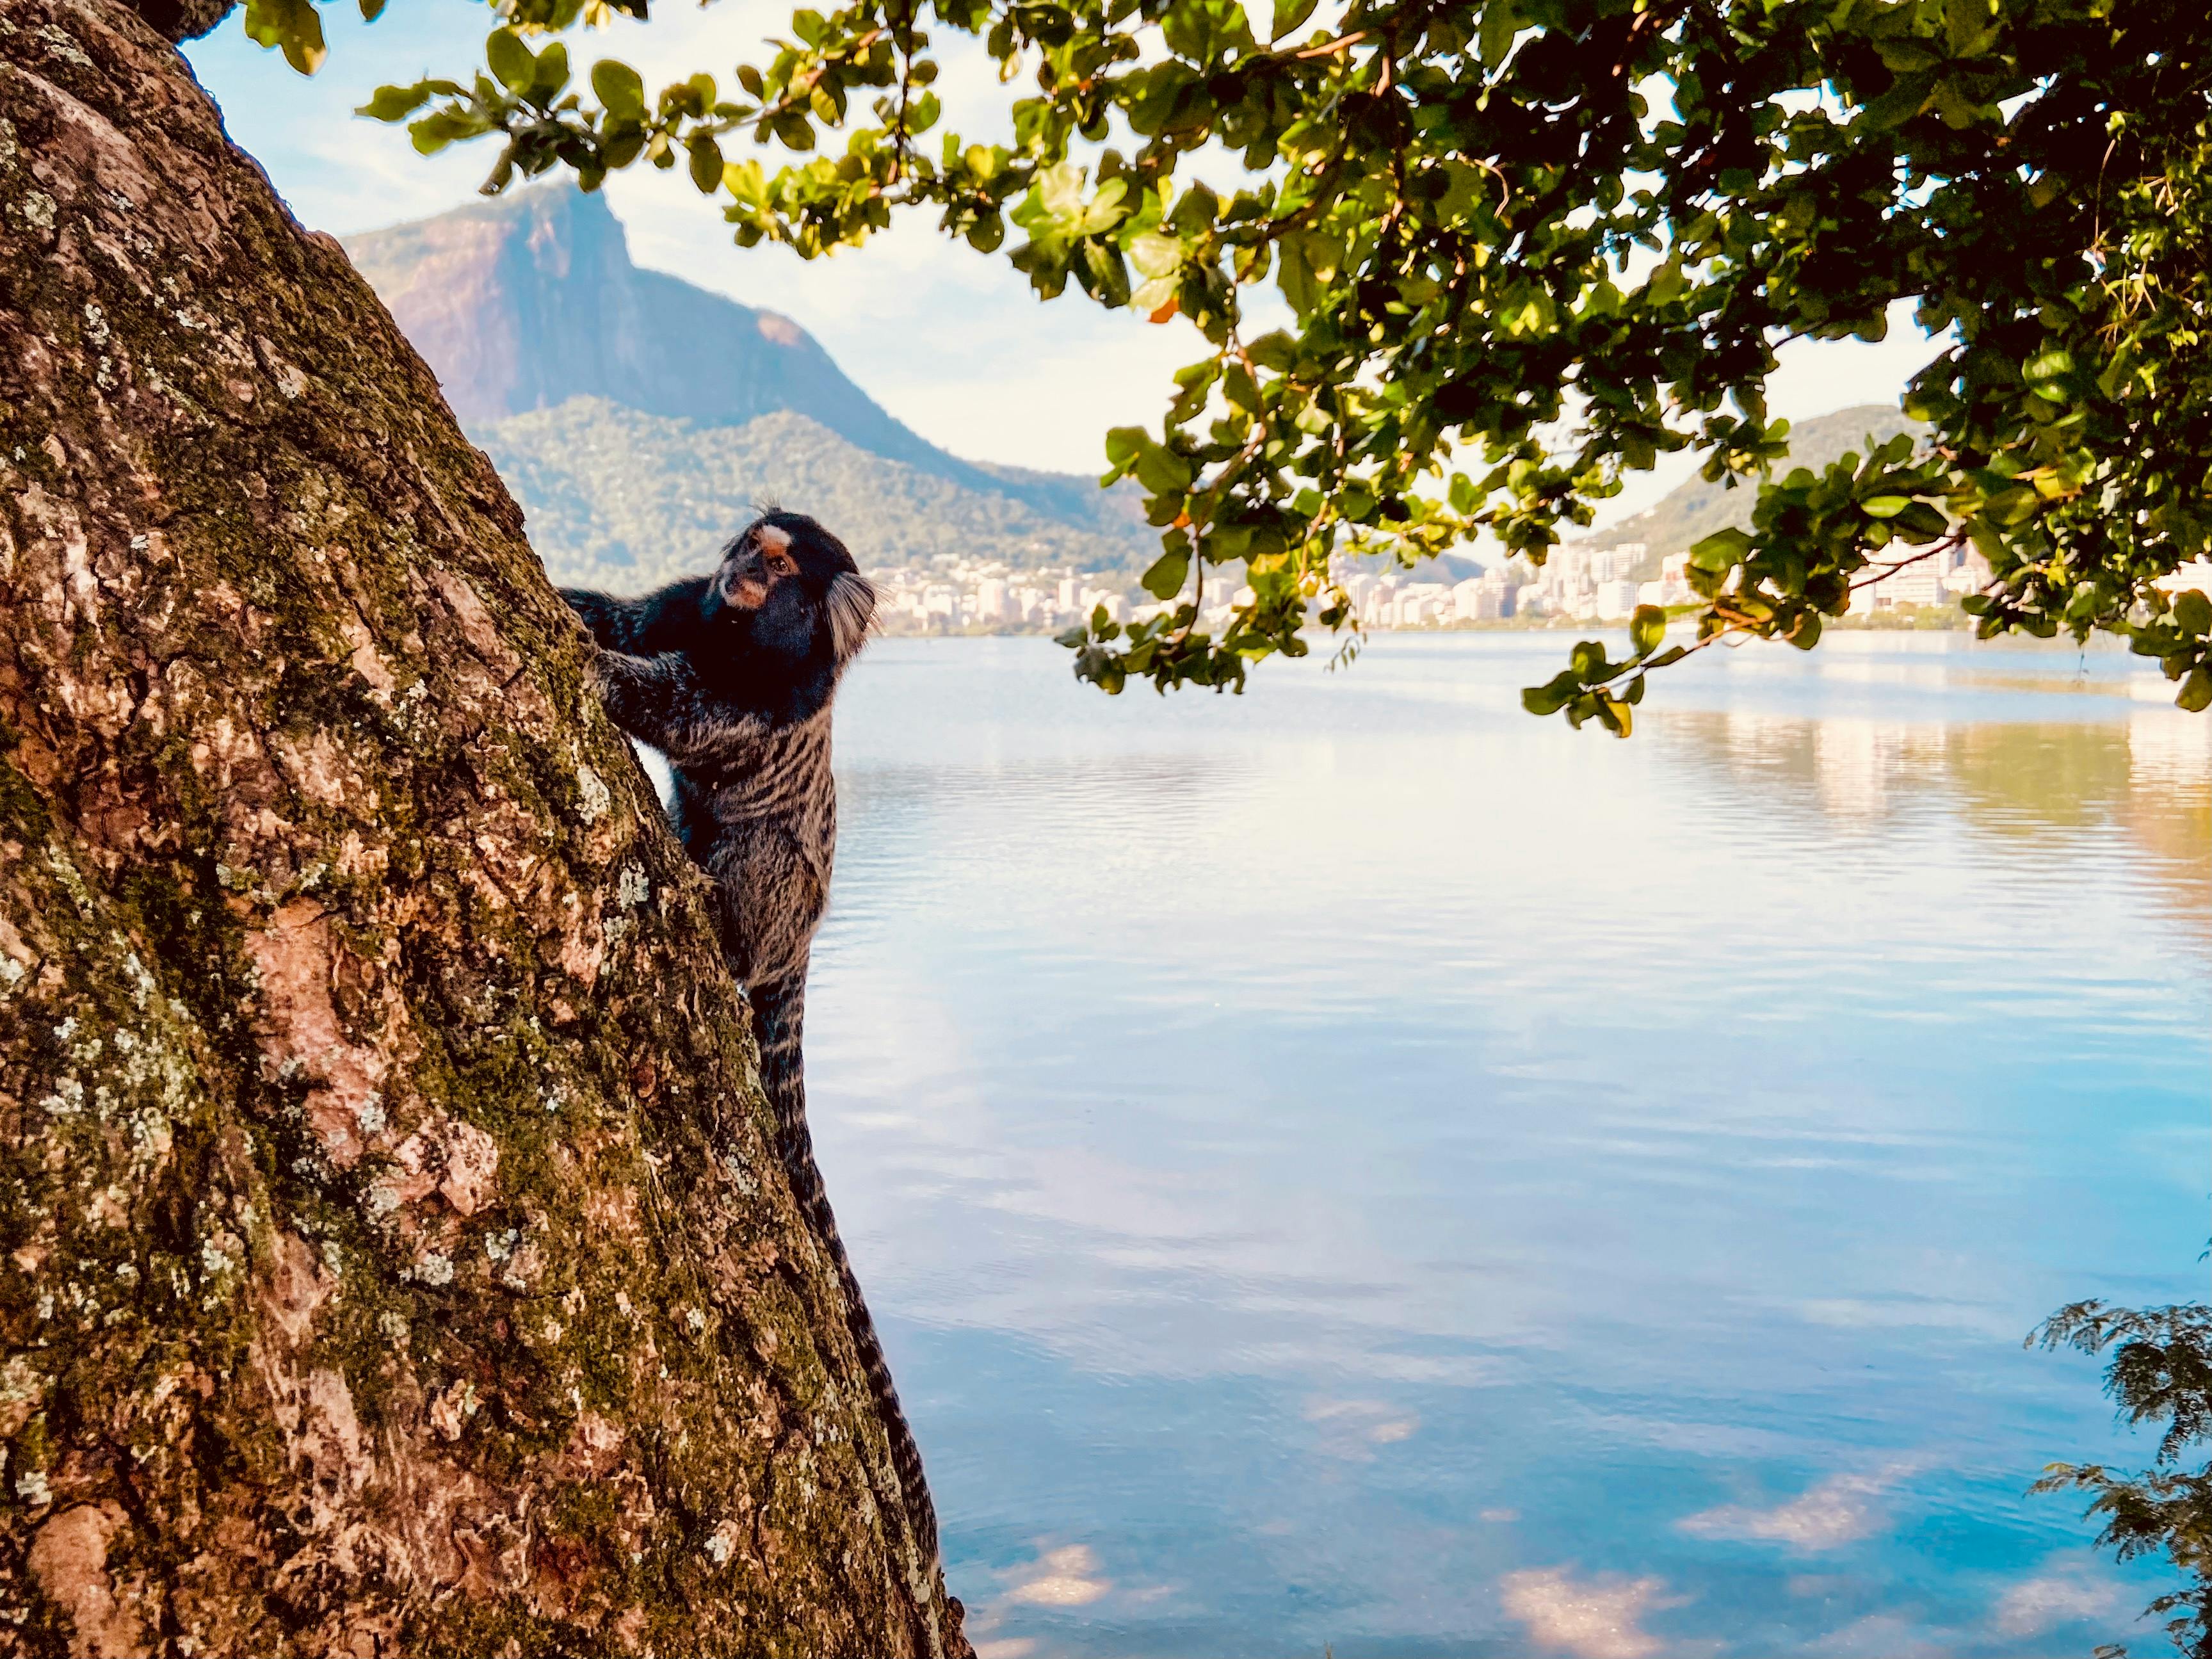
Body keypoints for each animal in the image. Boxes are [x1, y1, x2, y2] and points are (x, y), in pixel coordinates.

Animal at [558, 510, 946, 1582]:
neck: (736, 634)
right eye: (747, 547)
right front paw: (569, 603)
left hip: (780, 896)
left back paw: (718, 915)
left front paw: (593, 667)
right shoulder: (681, 606)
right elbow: (628, 616)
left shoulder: (764, 706)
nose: (741, 573)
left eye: (781, 571)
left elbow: (681, 709)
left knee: (762, 852)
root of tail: (801, 943)